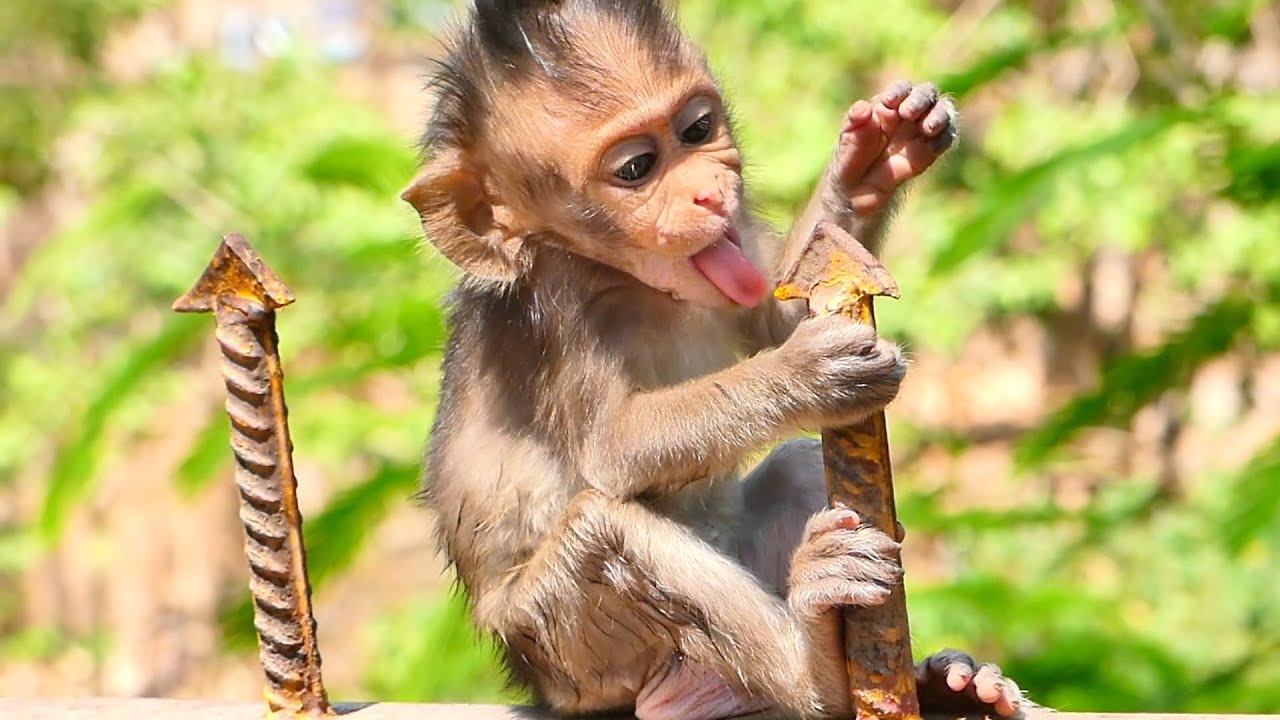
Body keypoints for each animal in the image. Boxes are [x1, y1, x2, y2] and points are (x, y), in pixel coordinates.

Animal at [402, 2, 1031, 719]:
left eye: (698, 130)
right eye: (637, 168)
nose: (710, 192)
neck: (625, 277)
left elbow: (777, 310)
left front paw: (872, 161)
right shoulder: (557, 312)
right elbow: (610, 447)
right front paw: (806, 373)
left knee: (799, 467)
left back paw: (950, 689)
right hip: (565, 642)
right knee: (605, 527)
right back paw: (816, 671)